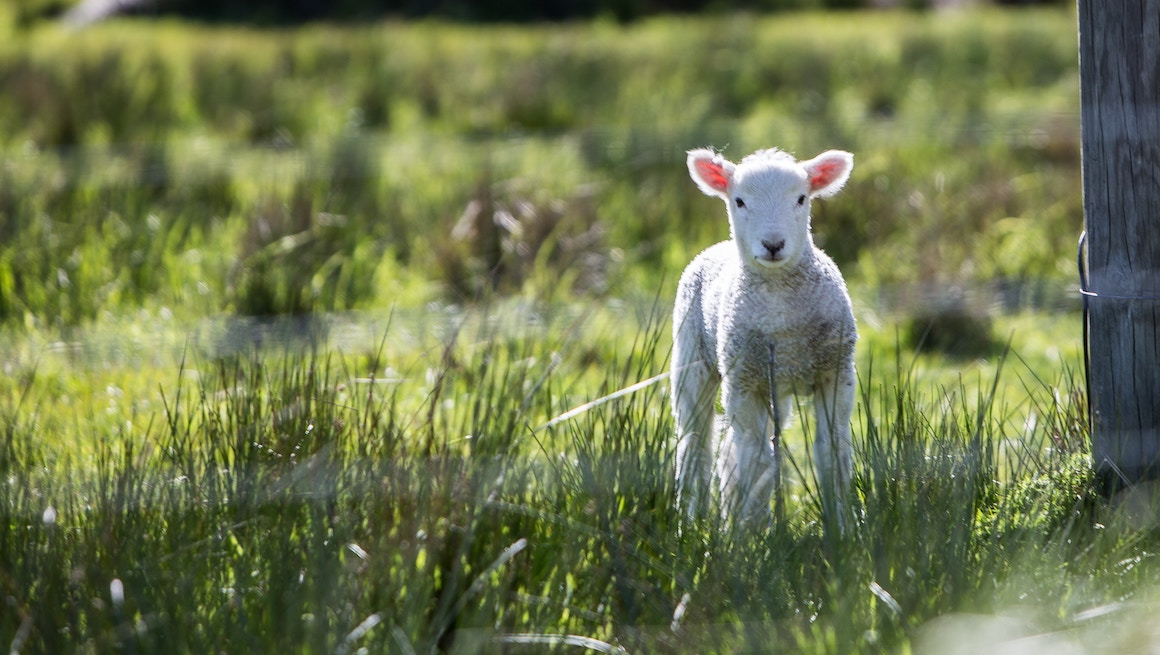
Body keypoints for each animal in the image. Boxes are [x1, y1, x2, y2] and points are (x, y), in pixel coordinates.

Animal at [672, 146, 857, 527]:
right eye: (739, 201)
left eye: (801, 198)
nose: (773, 244)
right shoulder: (744, 382)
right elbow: (755, 461)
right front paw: (753, 532)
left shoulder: (836, 372)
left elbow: (832, 452)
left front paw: (842, 527)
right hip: (691, 359)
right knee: (696, 443)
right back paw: (691, 520)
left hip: (775, 386)